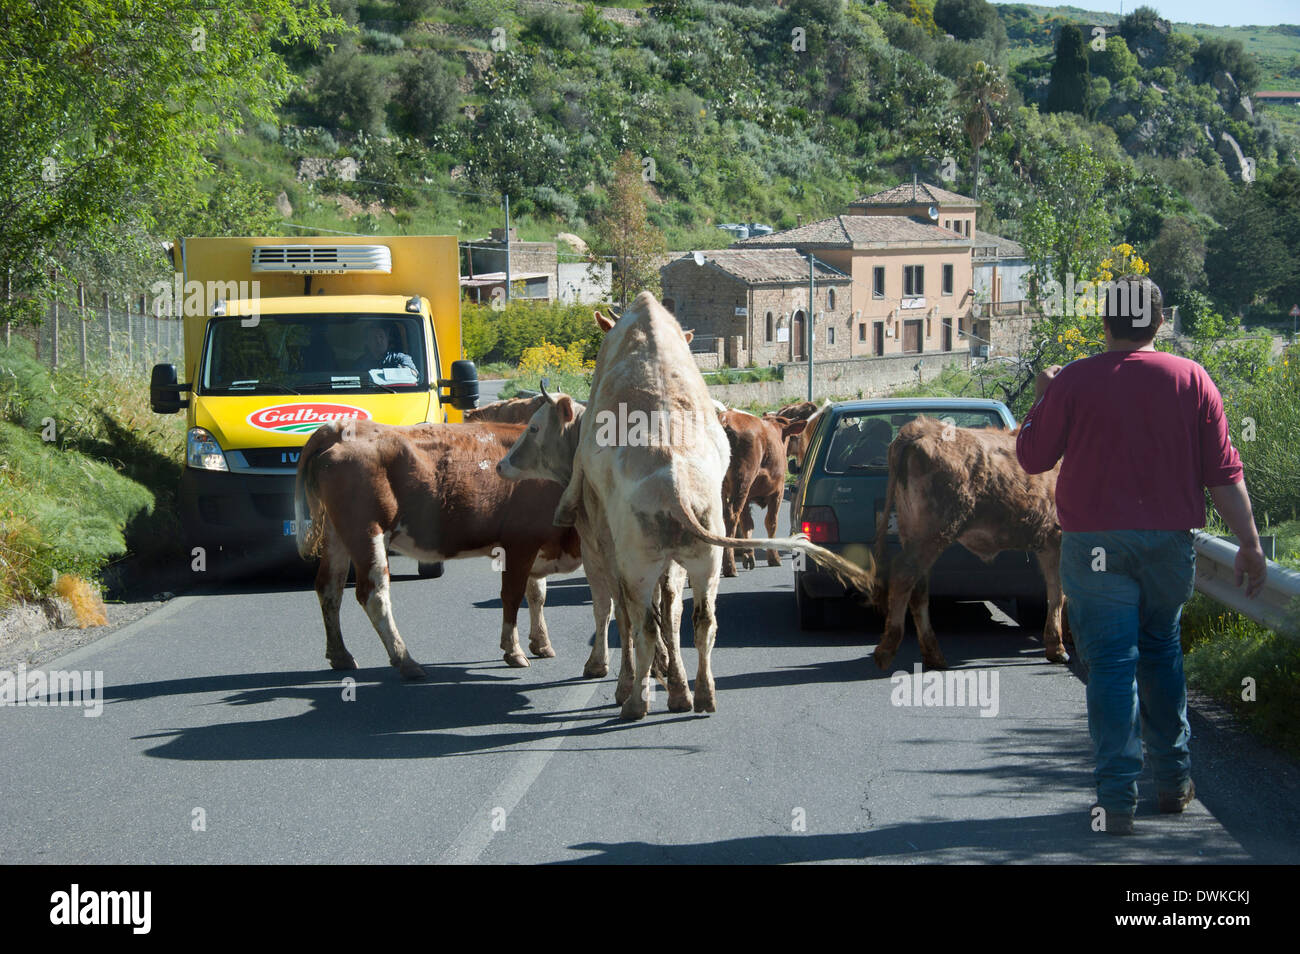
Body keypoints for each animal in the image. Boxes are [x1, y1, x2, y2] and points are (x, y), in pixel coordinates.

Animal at [293, 417, 598, 678]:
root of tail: (338, 427)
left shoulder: (536, 547)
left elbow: (537, 594)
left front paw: (541, 643)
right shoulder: (519, 543)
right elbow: (513, 596)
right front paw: (514, 651)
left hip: (336, 535)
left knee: (329, 588)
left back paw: (340, 655)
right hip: (367, 532)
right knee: (373, 595)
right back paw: (406, 661)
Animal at [718, 409, 806, 576]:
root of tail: (726, 418)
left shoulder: (747, 497)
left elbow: (747, 524)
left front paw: (748, 554)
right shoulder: (777, 492)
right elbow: (771, 522)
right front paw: (773, 557)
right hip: (742, 481)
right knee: (732, 516)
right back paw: (729, 566)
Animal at [866, 416, 1069, 671]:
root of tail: (920, 428)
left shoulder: (1048, 542)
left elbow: (1056, 590)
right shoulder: (1058, 539)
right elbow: (1060, 592)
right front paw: (1059, 646)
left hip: (914, 533)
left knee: (918, 588)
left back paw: (933, 654)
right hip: (931, 534)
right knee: (904, 576)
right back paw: (886, 651)